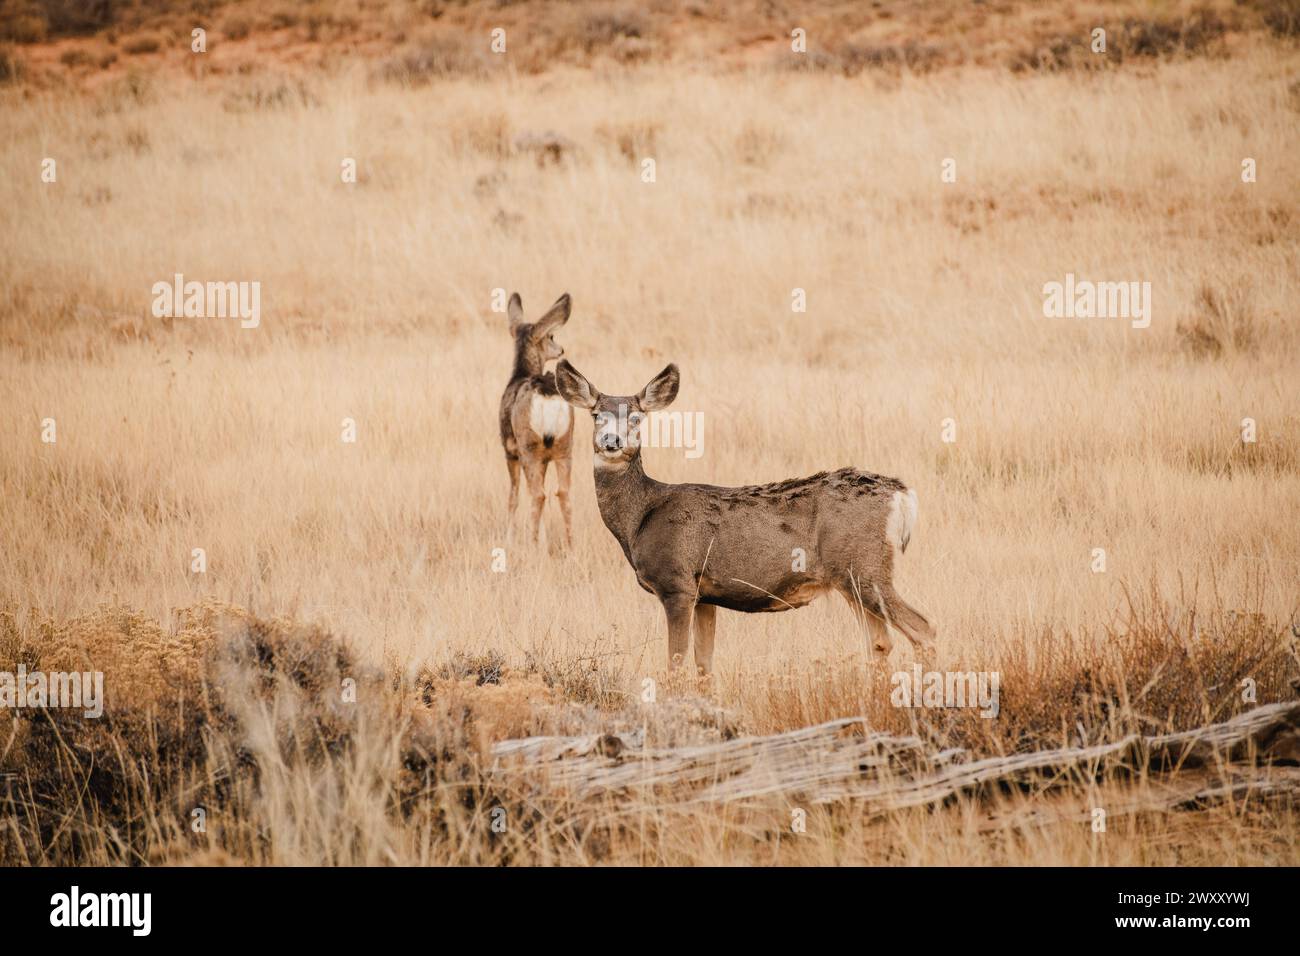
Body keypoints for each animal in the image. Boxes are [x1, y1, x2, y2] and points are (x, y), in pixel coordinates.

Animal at [499, 292, 574, 546]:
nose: (561, 349)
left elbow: (513, 496)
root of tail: (547, 392)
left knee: (537, 495)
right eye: (551, 336)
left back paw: (532, 546)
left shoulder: (511, 451)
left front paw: (509, 539)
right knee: (563, 493)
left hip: (529, 445)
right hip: (565, 444)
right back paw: (571, 548)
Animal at [554, 359, 935, 675]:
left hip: (864, 567)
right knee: (880, 642)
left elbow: (674, 664)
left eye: (636, 417)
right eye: (595, 415)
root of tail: (901, 494)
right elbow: (704, 663)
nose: (611, 440)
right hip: (850, 578)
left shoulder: (677, 583)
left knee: (924, 629)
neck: (641, 516)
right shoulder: (705, 595)